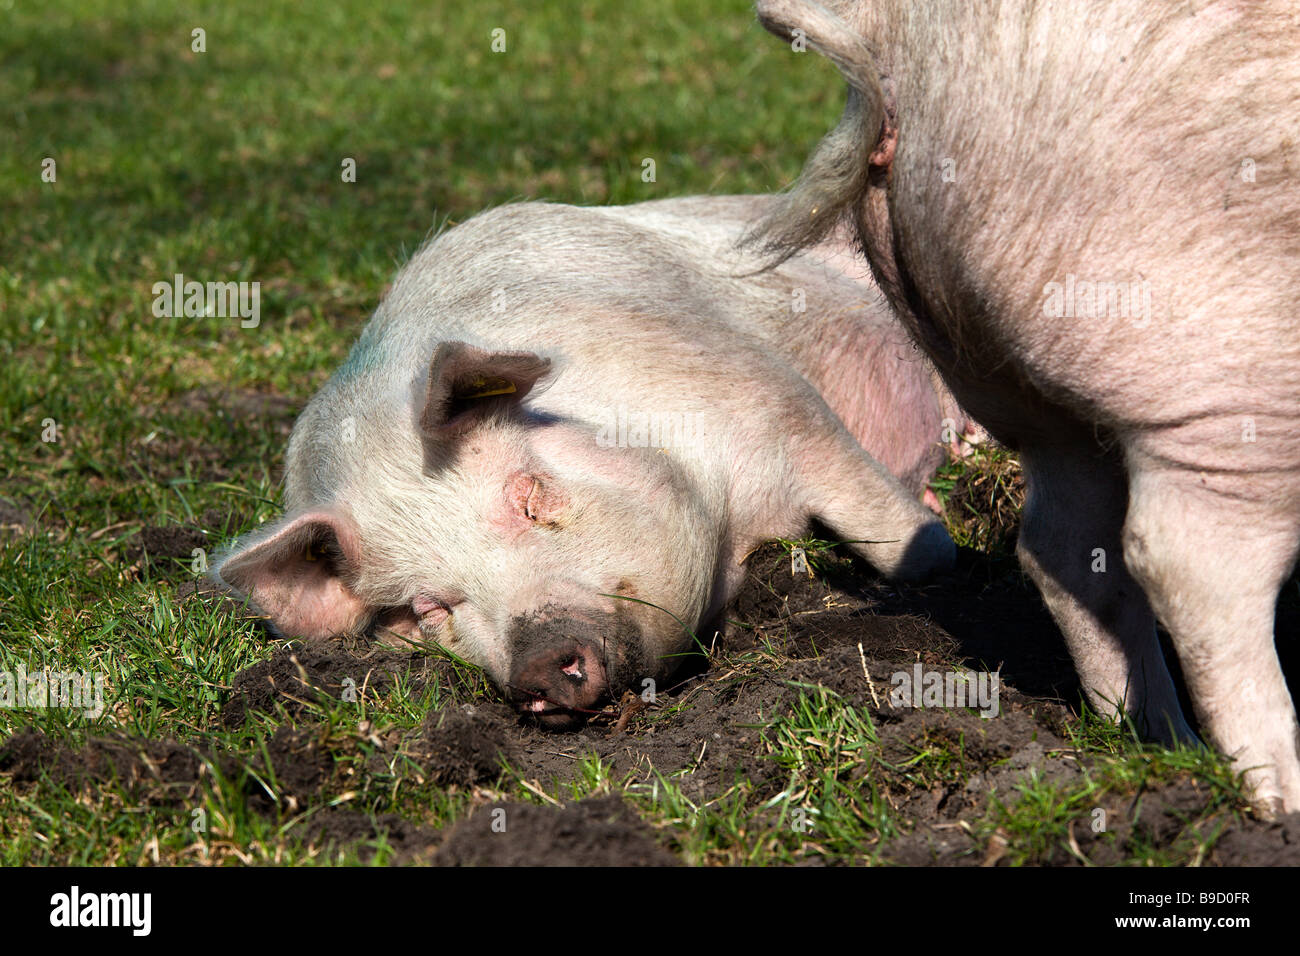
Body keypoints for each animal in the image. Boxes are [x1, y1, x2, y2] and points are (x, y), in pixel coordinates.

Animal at [212, 195, 962, 727]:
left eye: (530, 495)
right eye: (426, 607)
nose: (541, 661)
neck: (734, 534)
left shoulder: (772, 399)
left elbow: (894, 533)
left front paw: (943, 558)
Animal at [749, 0, 1300, 812]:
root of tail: (895, 41)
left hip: (1015, 375)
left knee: (1065, 549)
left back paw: (1153, 740)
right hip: (1221, 374)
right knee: (1188, 561)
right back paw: (1273, 797)